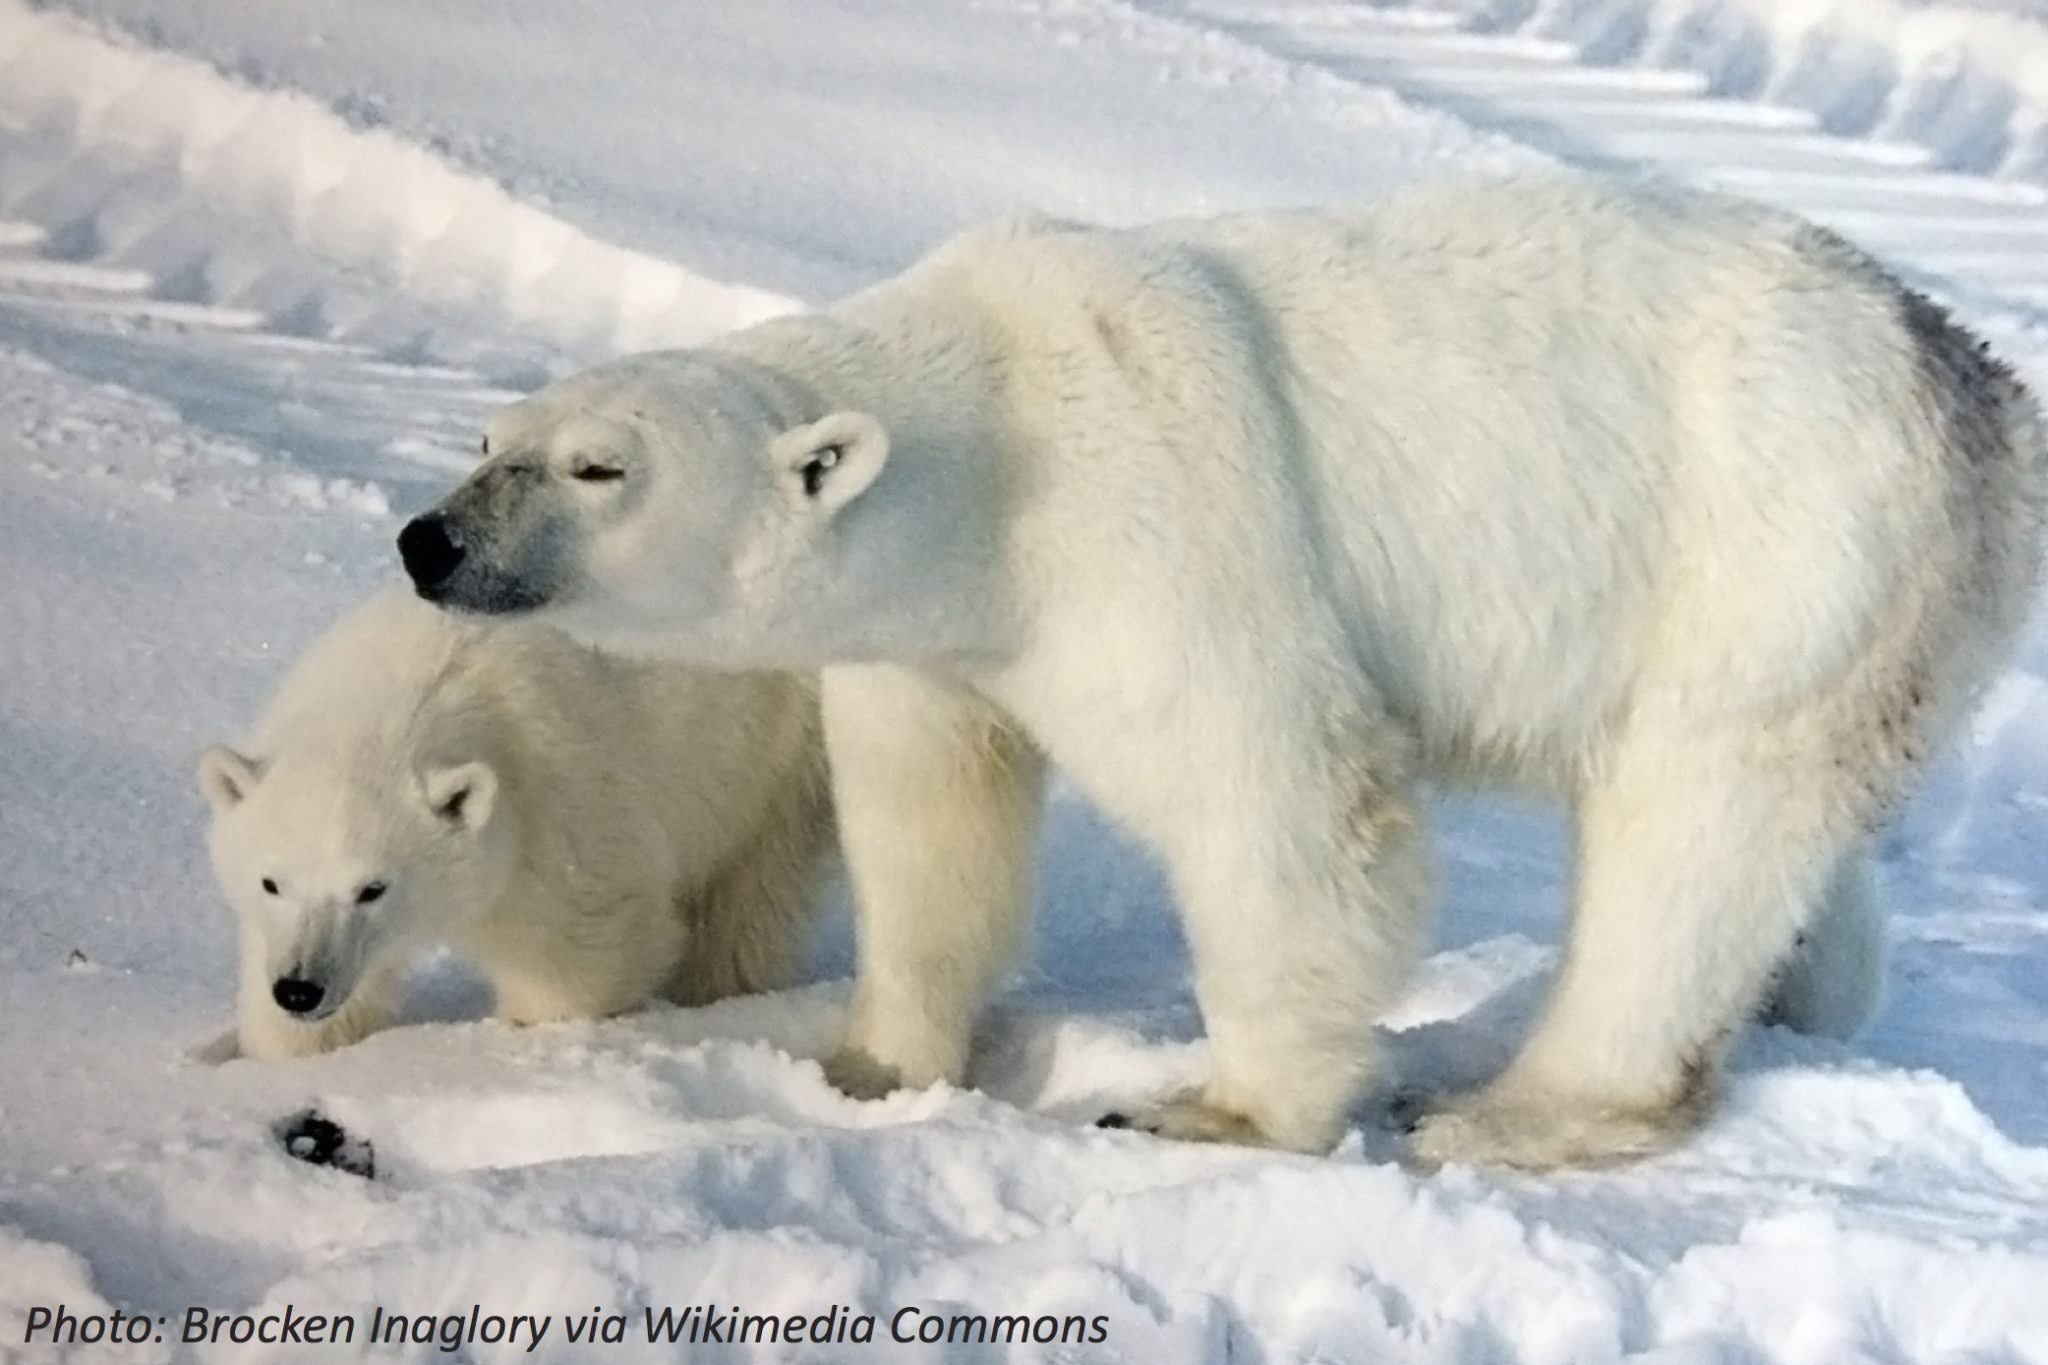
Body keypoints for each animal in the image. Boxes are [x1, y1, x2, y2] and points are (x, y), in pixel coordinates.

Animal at [197, 585, 832, 1060]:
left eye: (372, 889)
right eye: (271, 882)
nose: (300, 989)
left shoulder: (560, 810)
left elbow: (579, 959)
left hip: (776, 755)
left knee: (749, 898)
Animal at [394, 174, 2045, 1169]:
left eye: (599, 468)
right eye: (491, 437)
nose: (428, 542)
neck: (994, 424)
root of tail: (1978, 387)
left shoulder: (1153, 532)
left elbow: (1286, 803)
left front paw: (1217, 1109)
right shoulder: (937, 641)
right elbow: (930, 823)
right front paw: (864, 1064)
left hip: (1777, 542)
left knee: (1689, 832)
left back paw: (1514, 1108)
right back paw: (1808, 989)